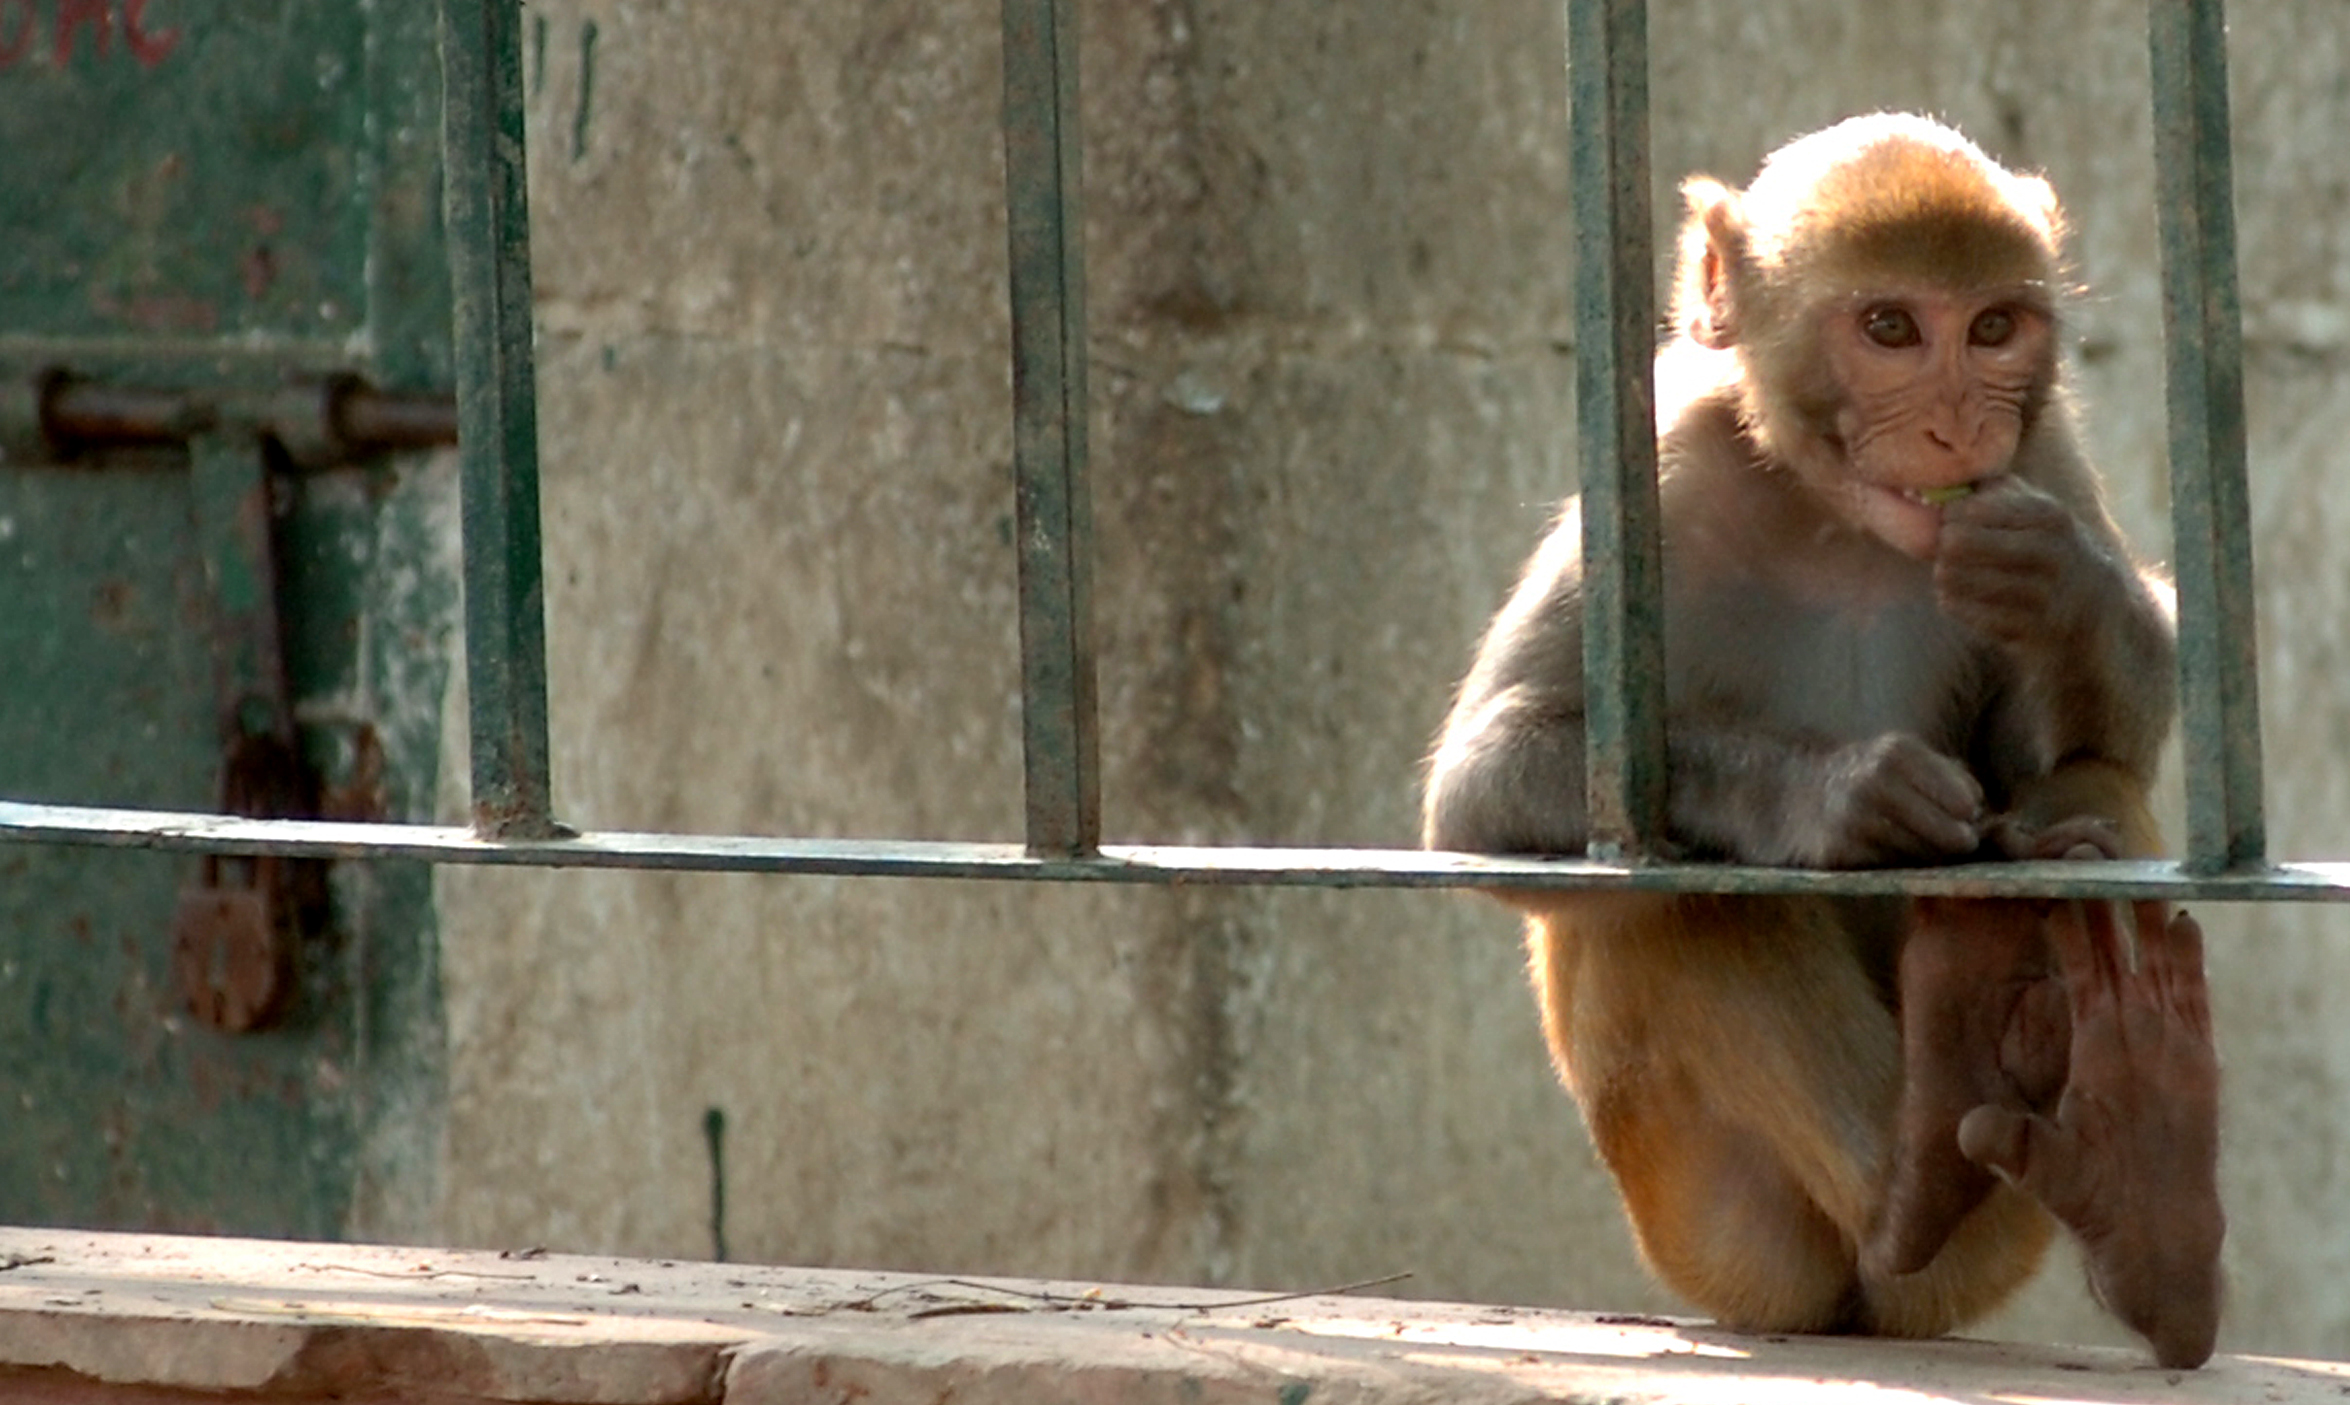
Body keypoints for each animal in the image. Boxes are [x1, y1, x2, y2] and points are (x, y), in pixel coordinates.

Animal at [1422, 114, 2222, 1367]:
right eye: (1888, 328)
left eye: (1991, 327)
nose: (1957, 424)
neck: (1836, 521)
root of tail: (1864, 1315)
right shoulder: (1662, 467)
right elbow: (1483, 779)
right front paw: (1842, 799)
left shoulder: (2037, 456)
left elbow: (2099, 746)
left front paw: (2062, 583)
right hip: (1715, 1226)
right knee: (1674, 897)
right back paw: (1917, 1167)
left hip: (1982, 1250)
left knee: (2089, 804)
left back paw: (2147, 1199)